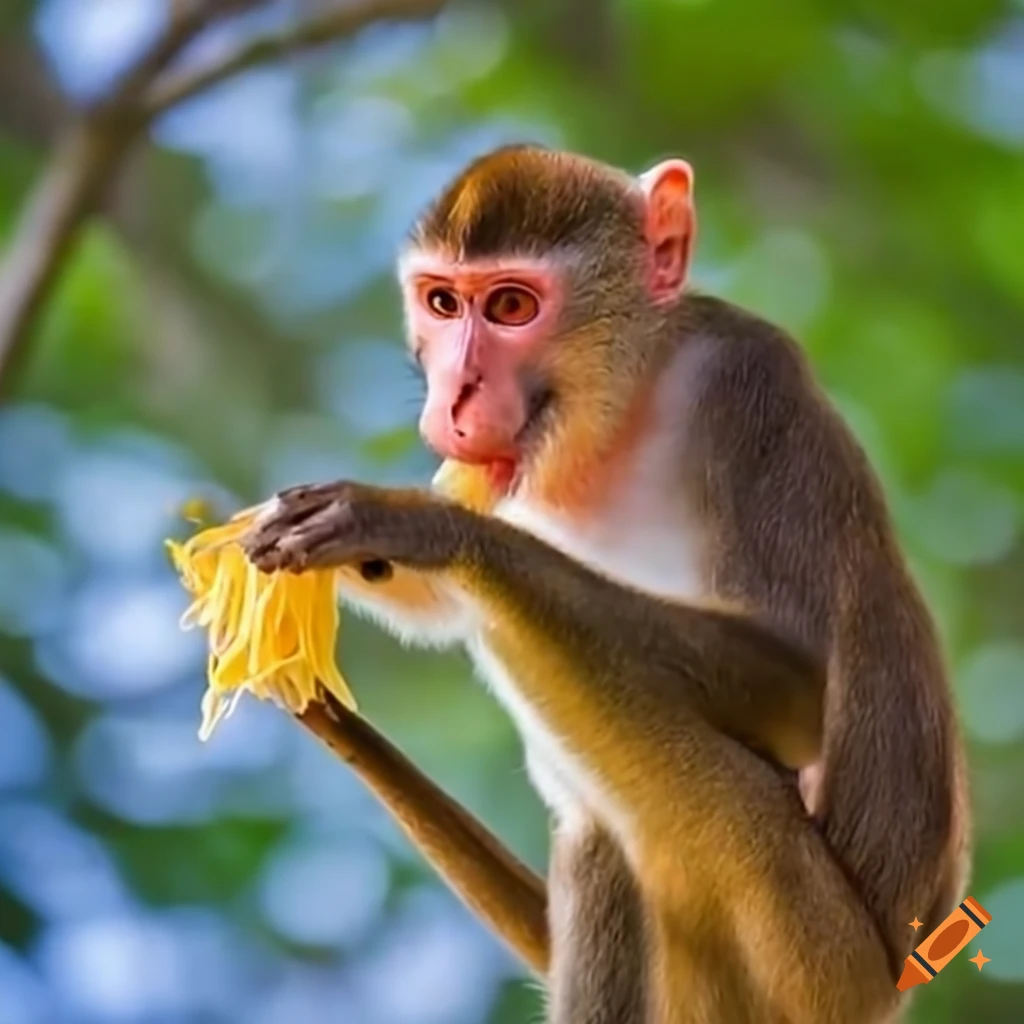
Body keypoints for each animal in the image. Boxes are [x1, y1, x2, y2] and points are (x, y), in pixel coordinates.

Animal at [243, 146, 971, 1023]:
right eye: (443, 302)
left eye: (512, 306)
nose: (455, 398)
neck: (621, 413)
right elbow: (436, 602)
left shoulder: (748, 377)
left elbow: (794, 679)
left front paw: (417, 525)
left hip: (816, 966)